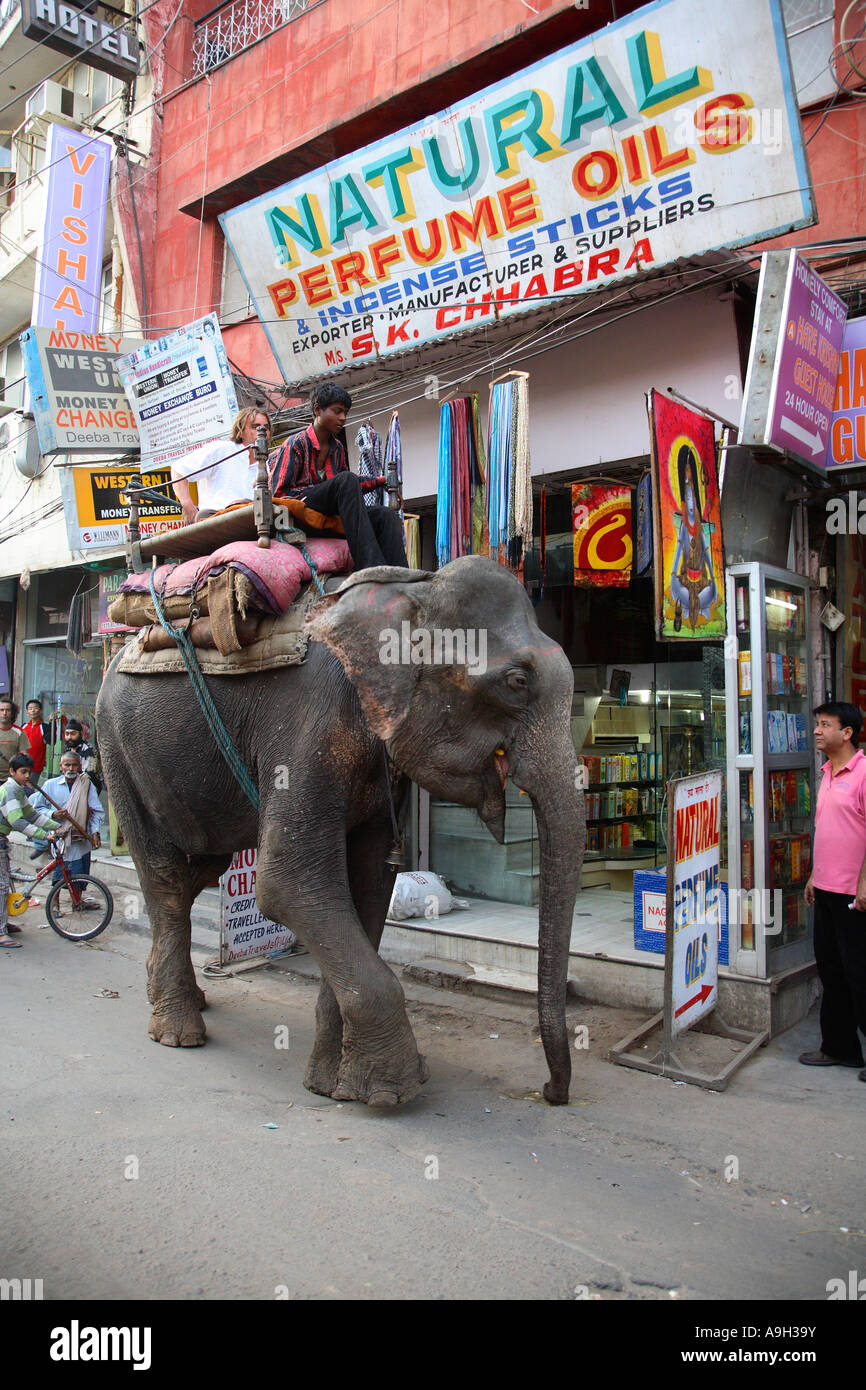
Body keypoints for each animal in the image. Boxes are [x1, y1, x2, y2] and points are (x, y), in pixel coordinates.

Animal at [95, 554, 585, 1107]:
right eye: (517, 681)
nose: (550, 1091)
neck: (415, 587)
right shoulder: (308, 725)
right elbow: (290, 885)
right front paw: (394, 1090)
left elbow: (367, 886)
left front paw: (336, 1085)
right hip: (116, 747)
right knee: (162, 872)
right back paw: (179, 1032)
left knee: (199, 865)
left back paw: (181, 997)